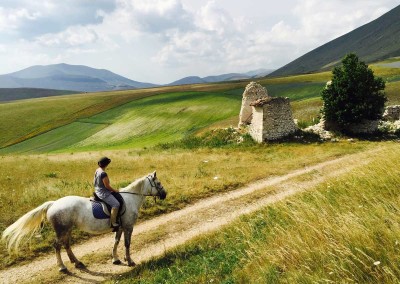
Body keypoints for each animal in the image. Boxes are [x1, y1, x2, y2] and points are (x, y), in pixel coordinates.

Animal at [1, 171, 166, 270]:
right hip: (62, 230)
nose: (164, 194)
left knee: (66, 245)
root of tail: (53, 204)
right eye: (158, 183)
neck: (131, 198)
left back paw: (77, 262)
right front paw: (130, 261)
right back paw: (62, 267)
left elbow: (116, 242)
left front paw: (116, 259)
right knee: (57, 246)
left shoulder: (119, 227)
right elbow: (126, 243)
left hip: (67, 229)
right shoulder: (128, 226)